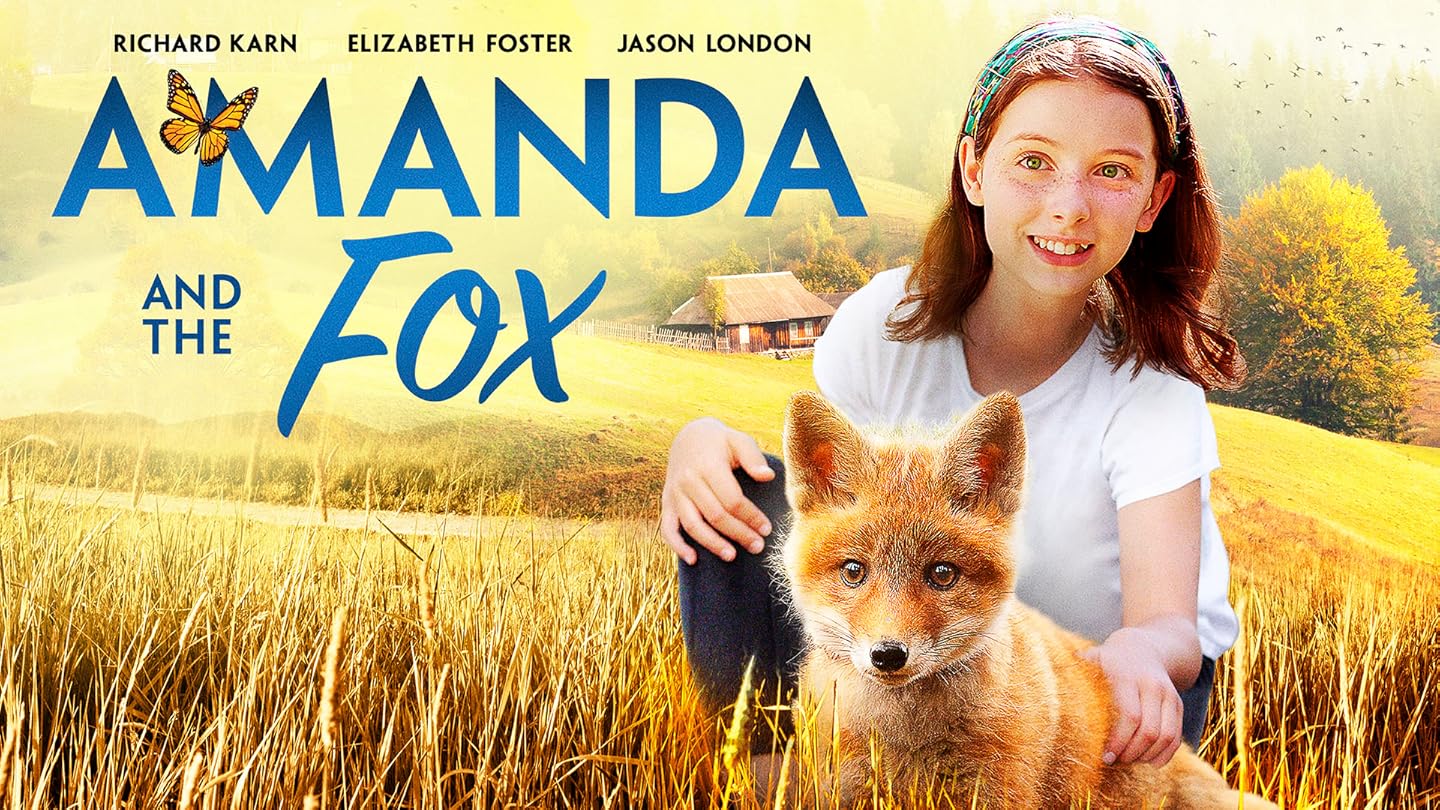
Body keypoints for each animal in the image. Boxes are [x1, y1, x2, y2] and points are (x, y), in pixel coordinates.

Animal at [777, 390, 1278, 808]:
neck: (904, 737)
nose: (887, 655)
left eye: (942, 574)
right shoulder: (843, 787)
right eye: (853, 572)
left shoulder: (997, 791)